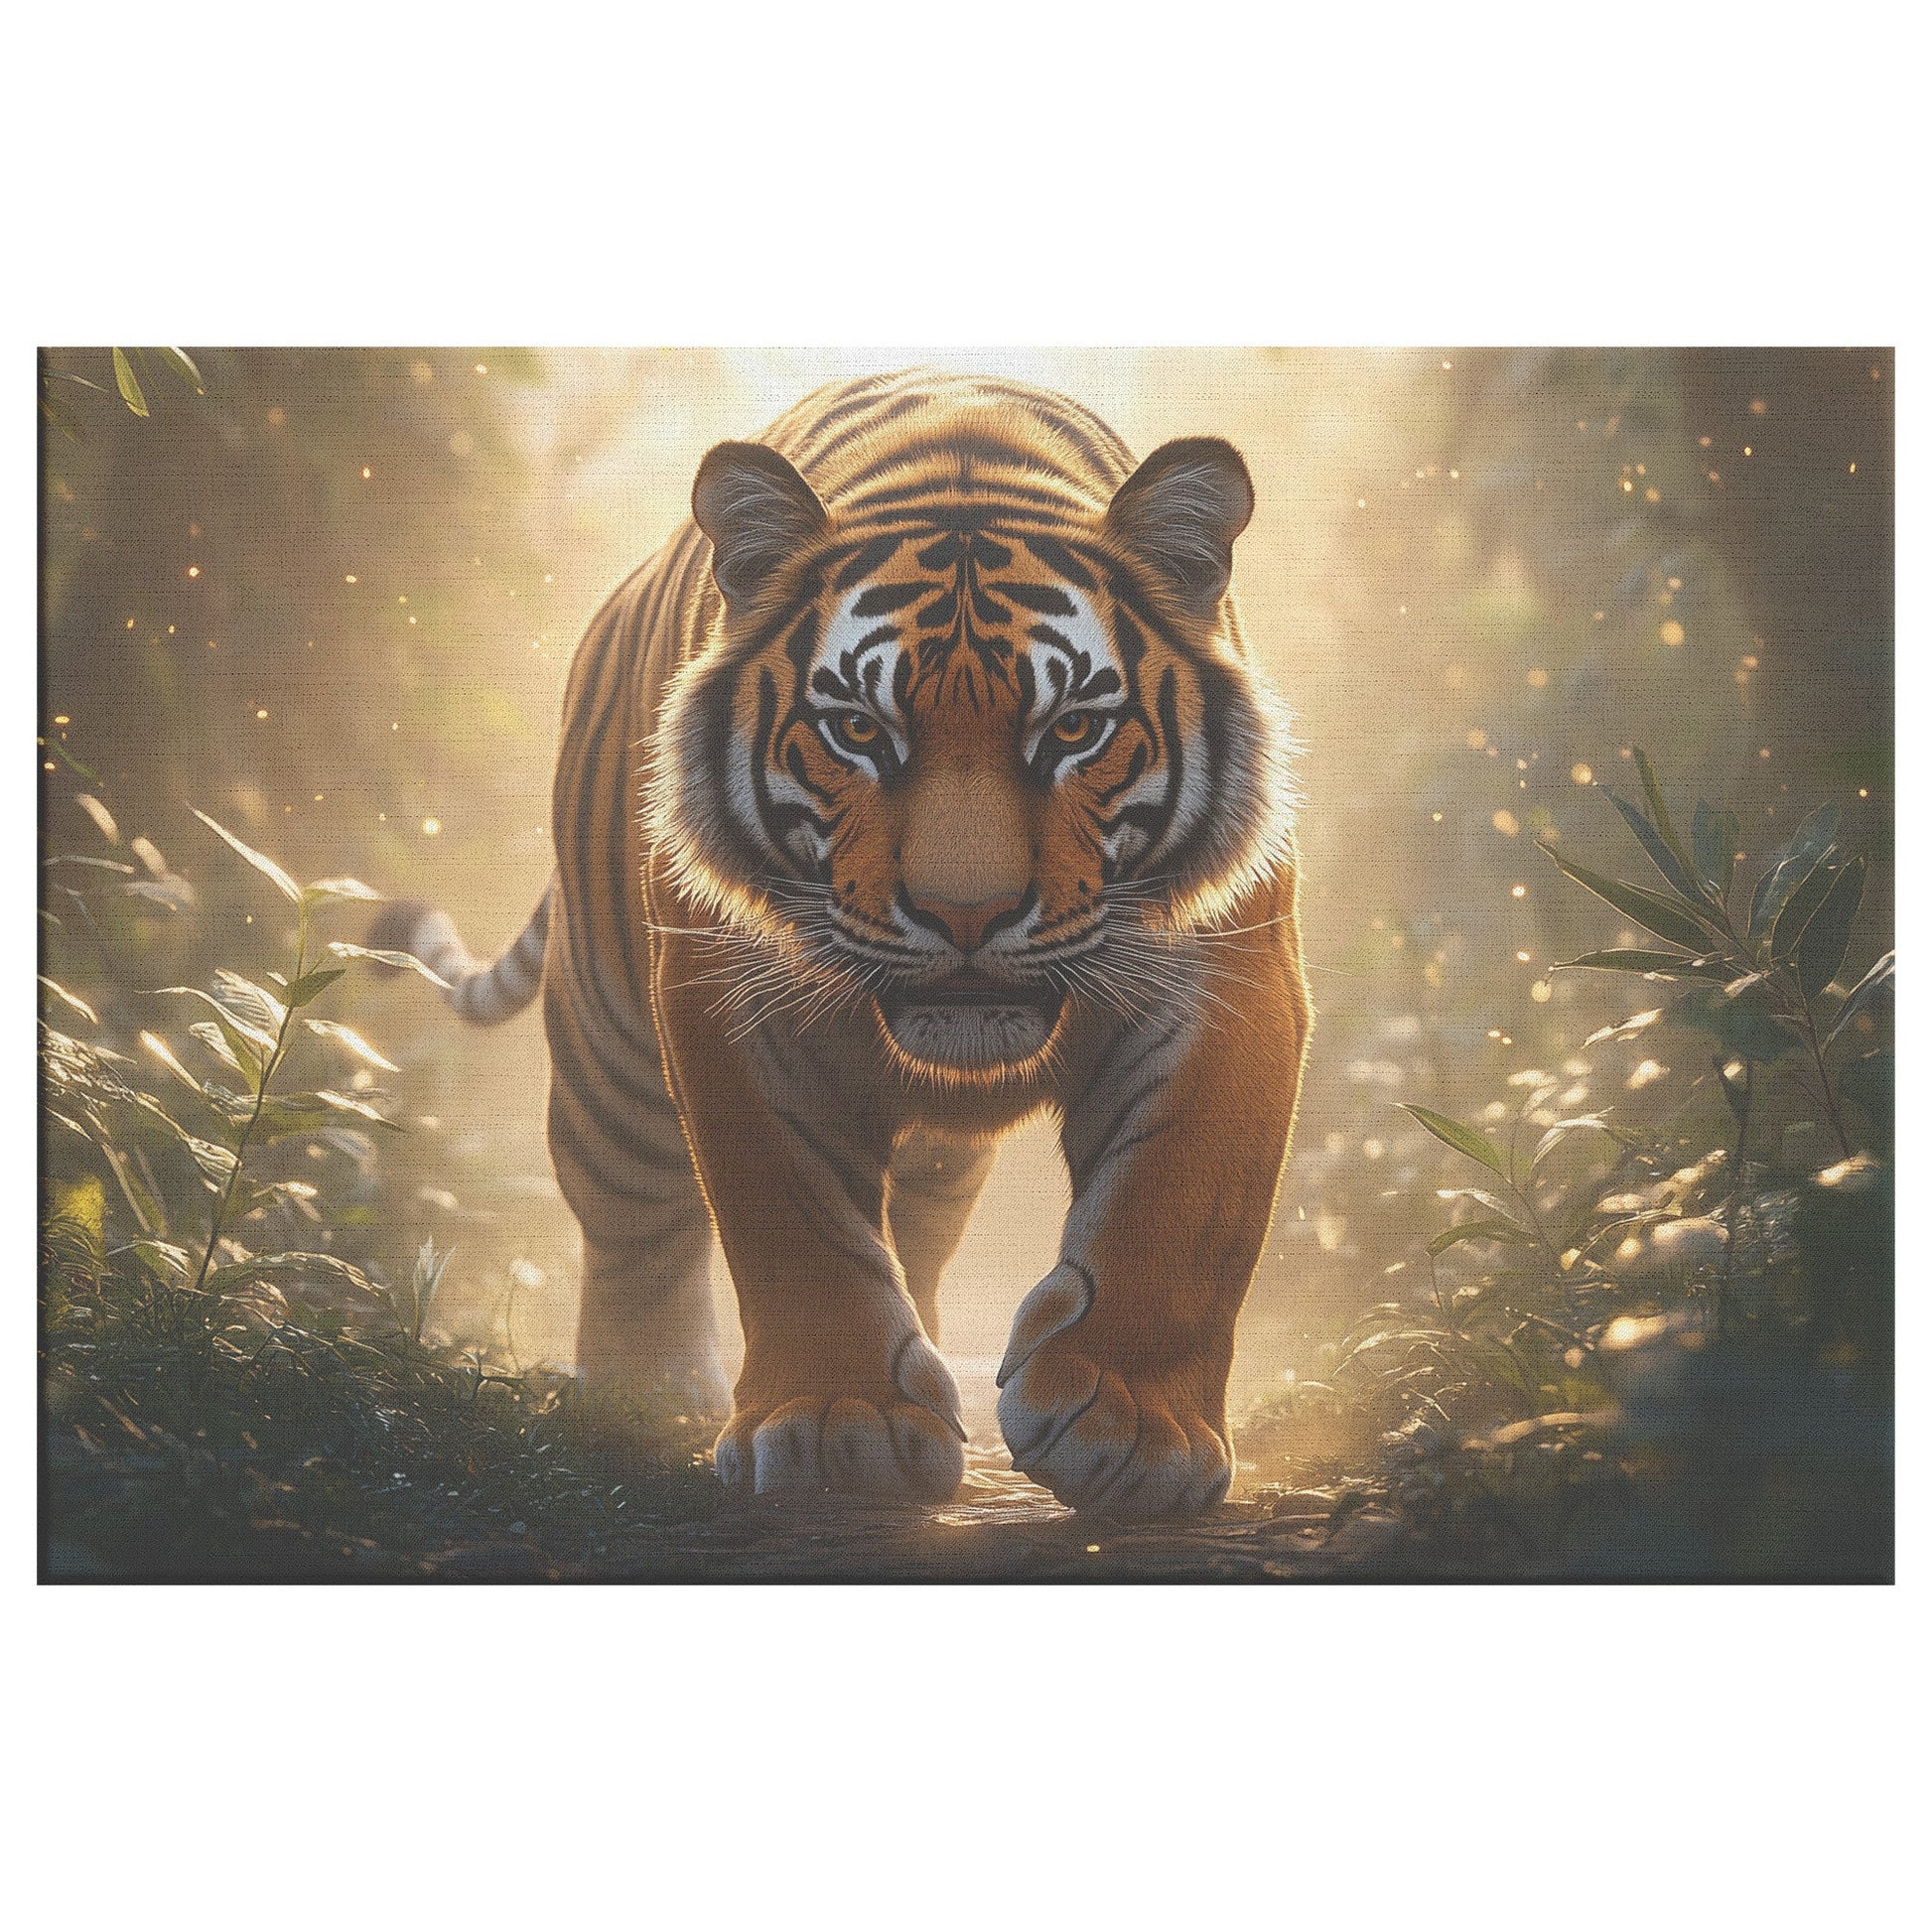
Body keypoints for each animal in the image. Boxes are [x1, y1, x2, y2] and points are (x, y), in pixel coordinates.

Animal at [376, 369, 1311, 1519]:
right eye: (859, 731)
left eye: (1072, 730)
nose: (966, 914)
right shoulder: (733, 993)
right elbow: (792, 1222)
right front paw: (840, 1428)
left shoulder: (1227, 973)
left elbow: (1176, 1197)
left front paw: (1134, 1430)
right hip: (607, 1051)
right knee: (630, 1213)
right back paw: (645, 1396)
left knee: (921, 1219)